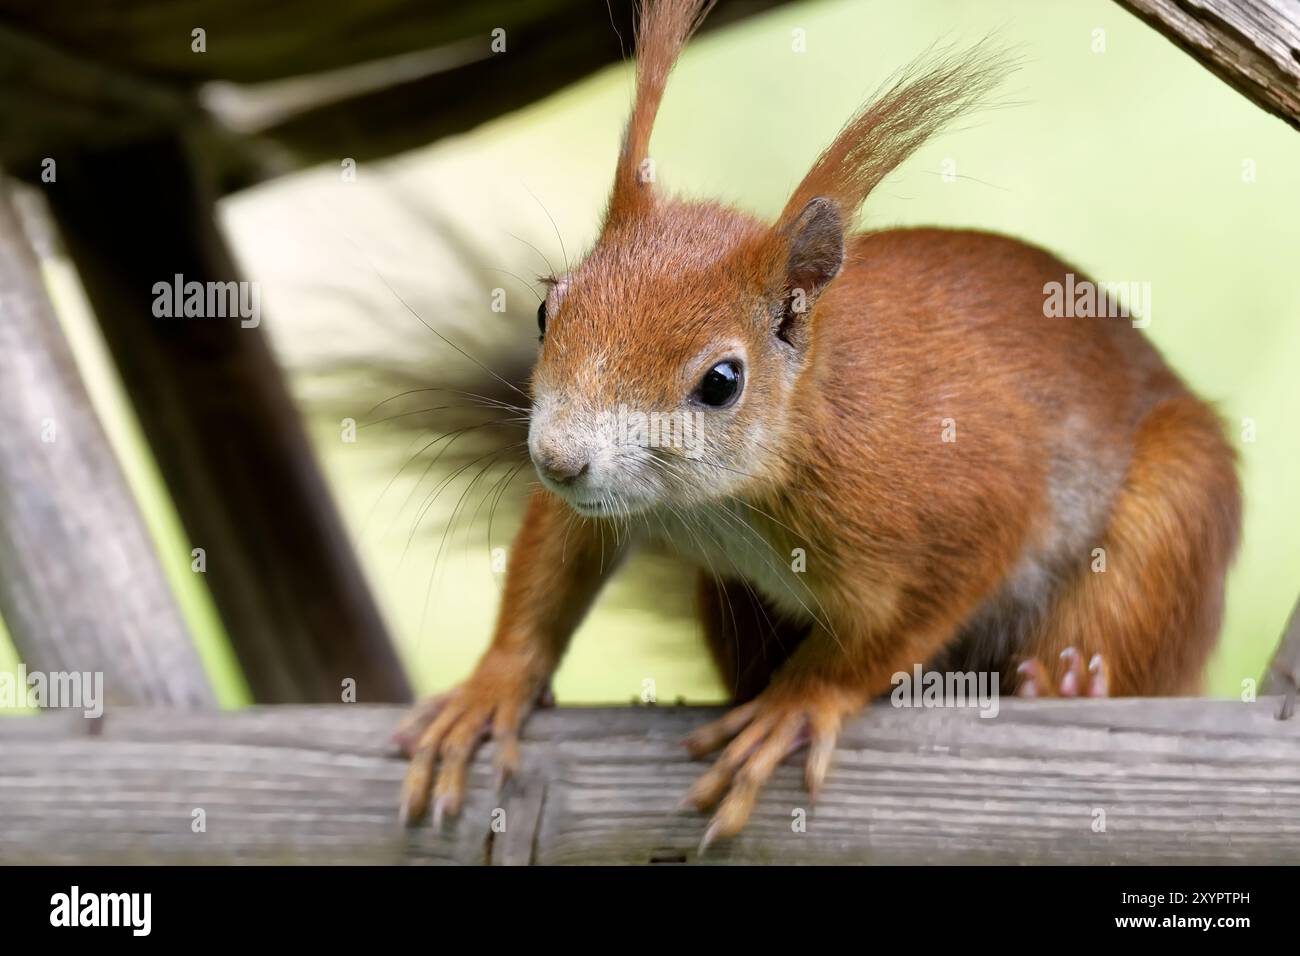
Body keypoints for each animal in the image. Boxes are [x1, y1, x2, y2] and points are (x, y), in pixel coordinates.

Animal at [394, 0, 1242, 845]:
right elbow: (551, 567)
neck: (719, 502)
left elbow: (895, 631)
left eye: (721, 382)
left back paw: (1062, 686)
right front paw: (490, 689)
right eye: (546, 311)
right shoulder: (607, 507)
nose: (558, 459)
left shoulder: (960, 497)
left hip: (1167, 528)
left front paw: (800, 703)